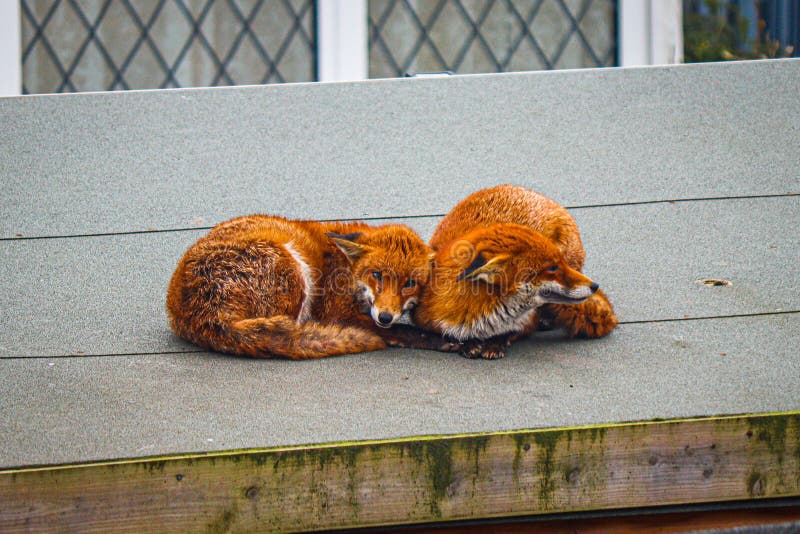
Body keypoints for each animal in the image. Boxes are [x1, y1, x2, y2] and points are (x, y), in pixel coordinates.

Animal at [166, 214, 461, 360]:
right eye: (376, 275)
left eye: (410, 284)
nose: (386, 316)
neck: (346, 268)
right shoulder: (337, 313)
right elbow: (407, 332)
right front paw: (446, 341)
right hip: (293, 268)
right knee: (293, 336)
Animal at [412, 184, 618, 359]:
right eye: (552, 268)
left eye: (561, 263)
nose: (595, 285)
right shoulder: (427, 319)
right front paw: (469, 343)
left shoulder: (528, 322)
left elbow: (514, 332)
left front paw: (496, 343)